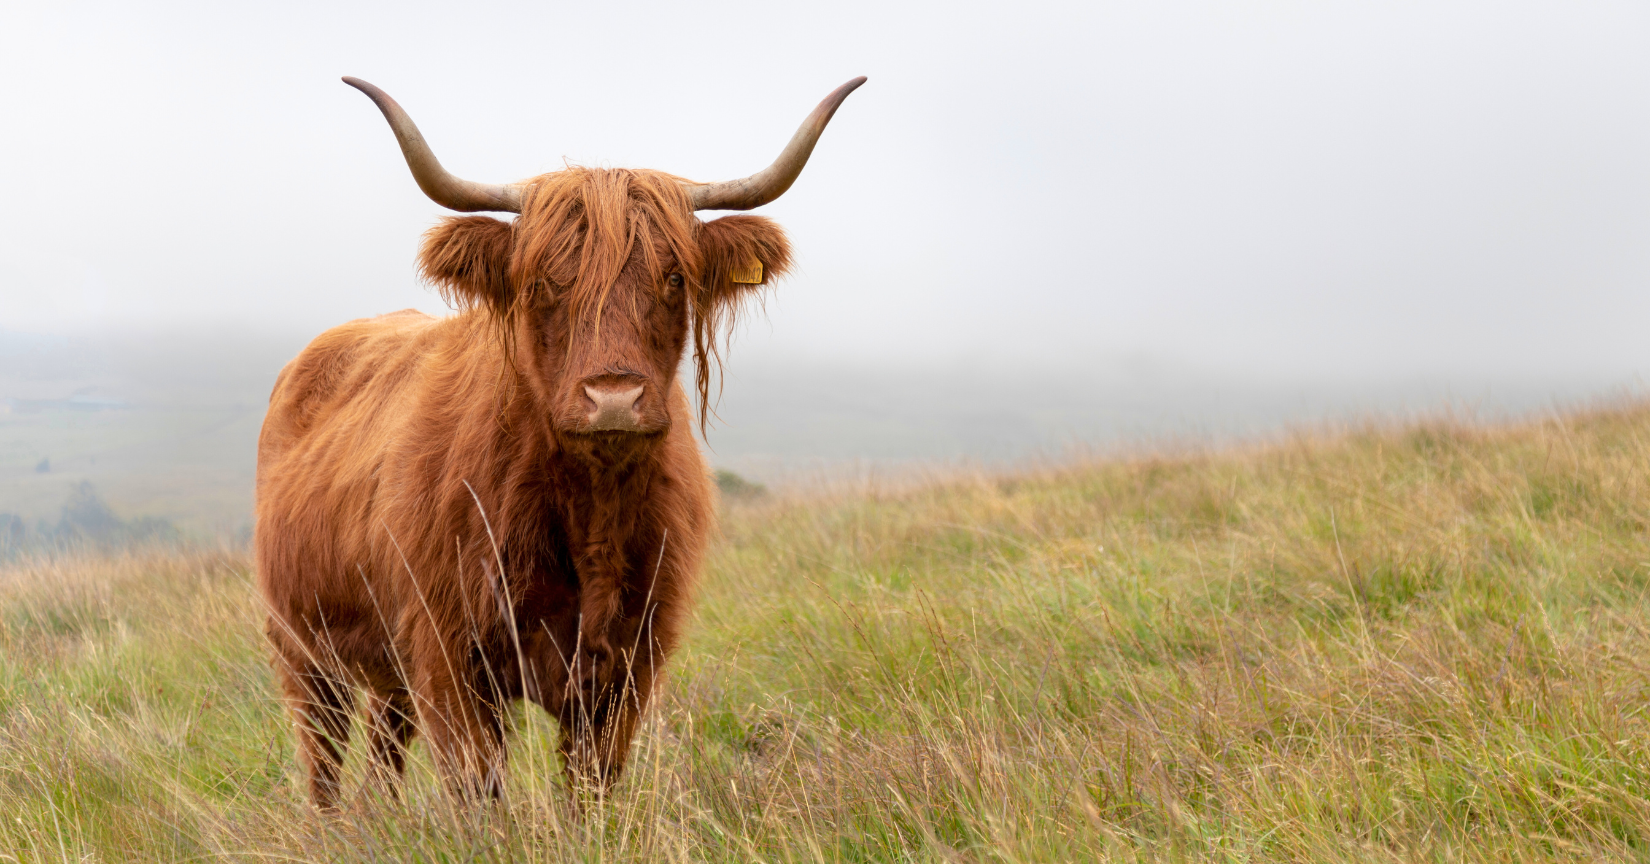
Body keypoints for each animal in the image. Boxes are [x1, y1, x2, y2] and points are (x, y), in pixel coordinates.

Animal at [255, 75, 865, 809]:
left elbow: (590, 792)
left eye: (673, 278)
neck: (590, 511)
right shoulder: (448, 656)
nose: (614, 398)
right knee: (323, 761)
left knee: (382, 751)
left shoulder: (629, 666)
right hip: (302, 646)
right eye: (544, 282)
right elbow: (477, 792)